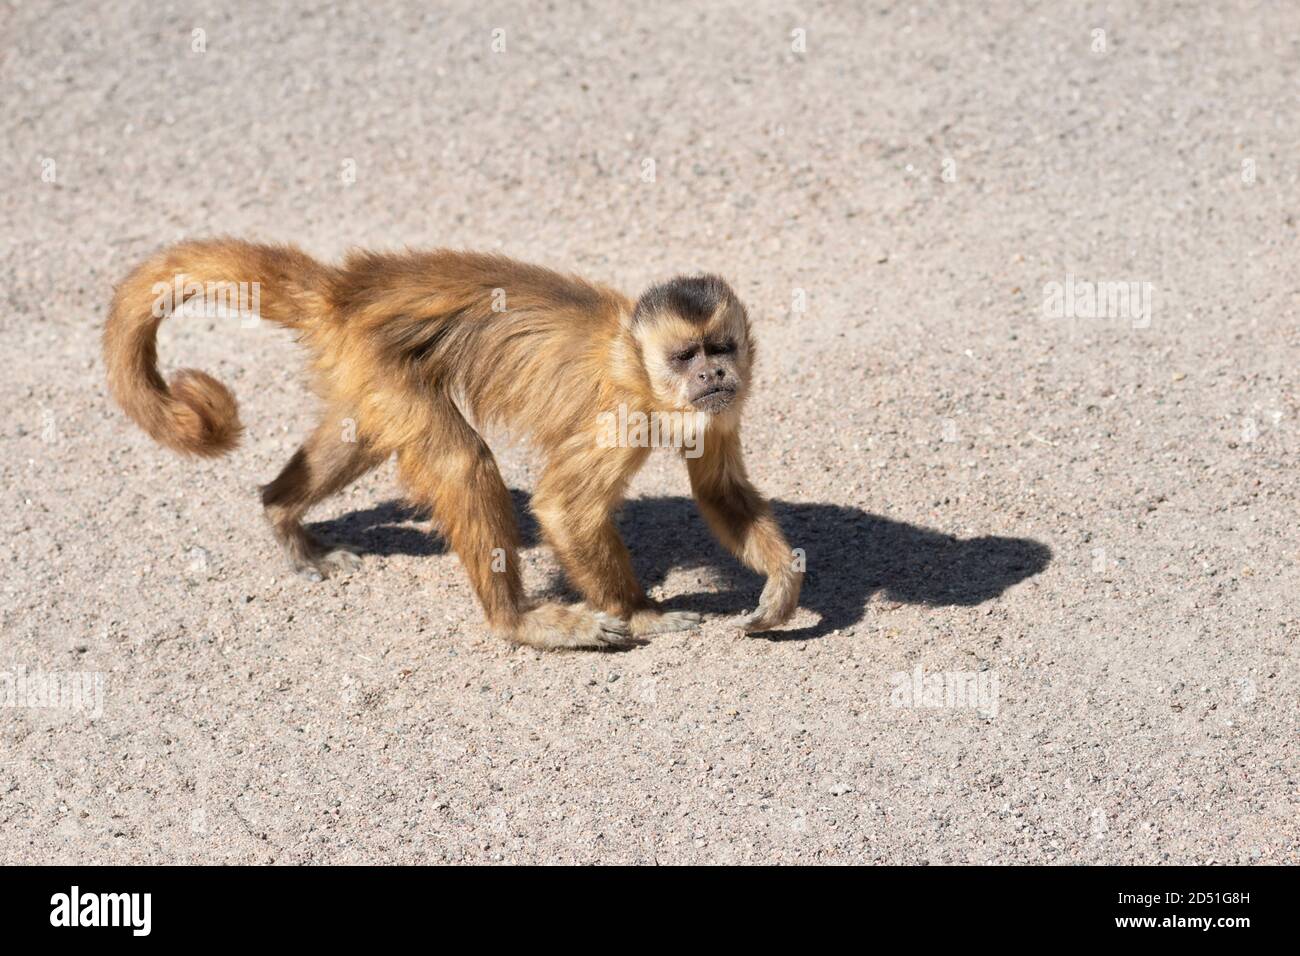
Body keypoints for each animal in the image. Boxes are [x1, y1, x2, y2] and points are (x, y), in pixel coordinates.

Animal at [103, 239, 803, 650]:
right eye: (686, 356)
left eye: (721, 348)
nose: (713, 376)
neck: (638, 365)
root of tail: (348, 287)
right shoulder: (623, 413)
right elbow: (562, 508)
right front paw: (639, 614)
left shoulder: (720, 410)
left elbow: (719, 490)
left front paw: (782, 584)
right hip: (380, 359)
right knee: (464, 462)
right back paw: (517, 622)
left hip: (364, 368)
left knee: (363, 434)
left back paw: (281, 513)